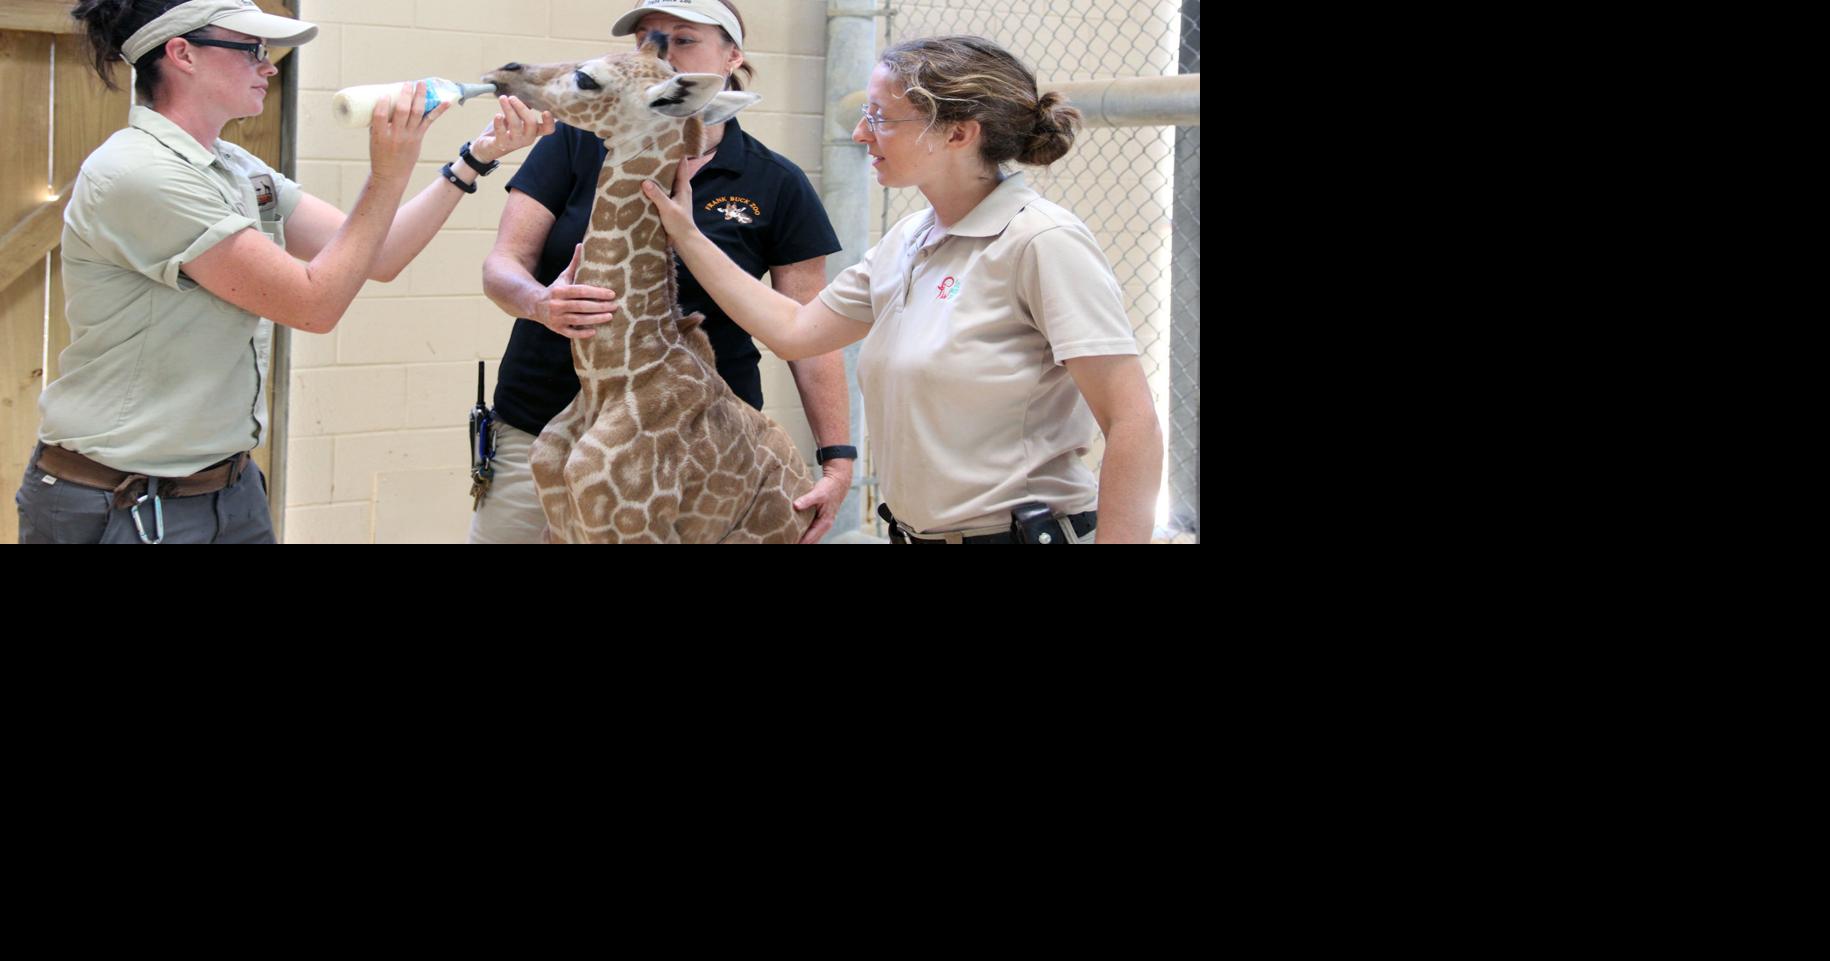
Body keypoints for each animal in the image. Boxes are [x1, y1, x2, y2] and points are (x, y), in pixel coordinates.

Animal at [483, 36, 817, 543]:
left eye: (587, 78)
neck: (606, 377)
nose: (505, 69)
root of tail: (809, 493)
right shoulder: (559, 524)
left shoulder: (635, 529)